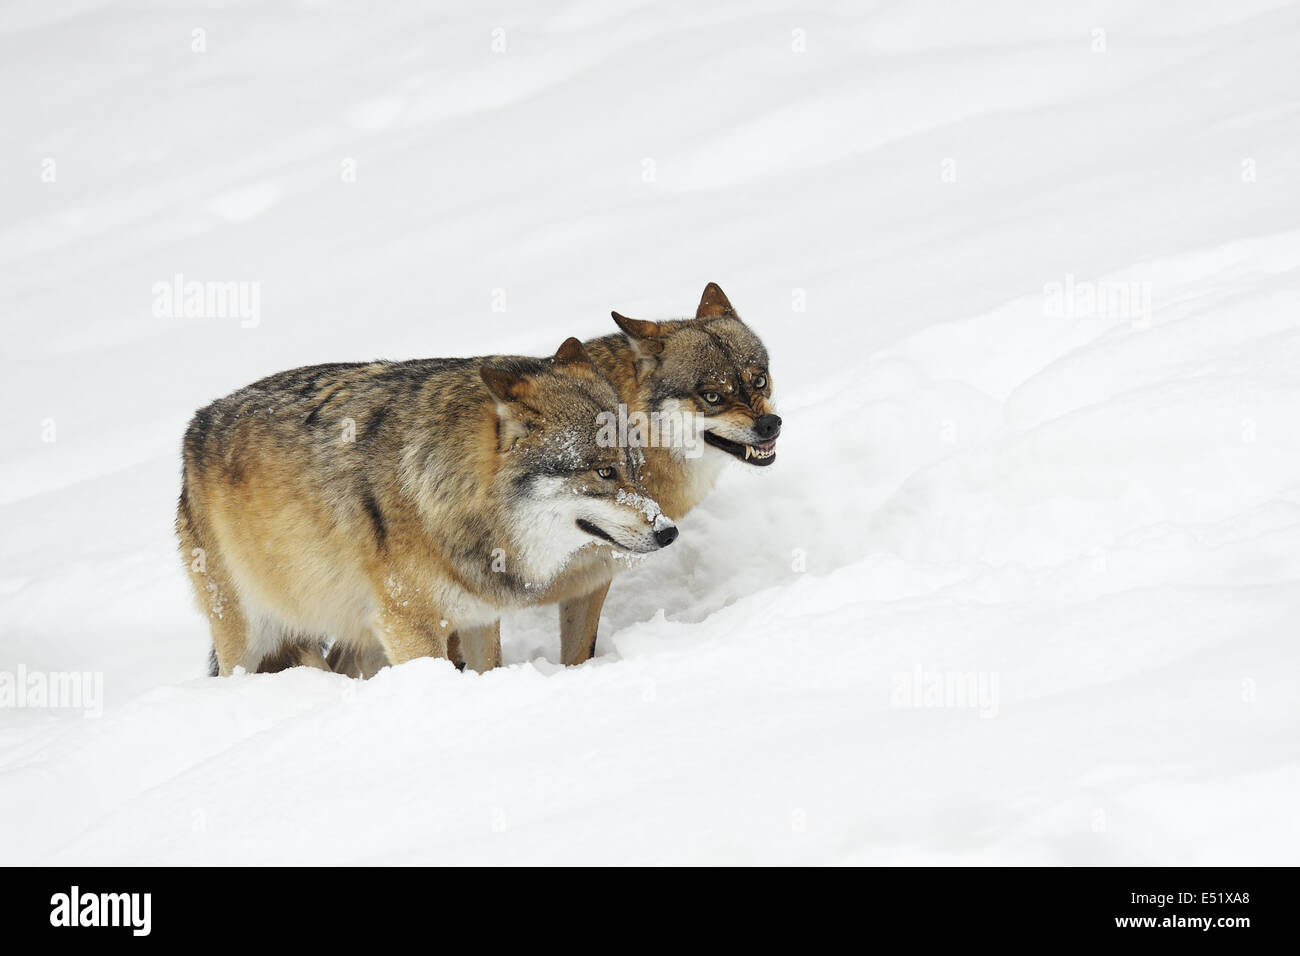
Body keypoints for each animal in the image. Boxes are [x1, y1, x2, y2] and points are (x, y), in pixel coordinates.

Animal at [176, 338, 678, 677]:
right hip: (249, 633)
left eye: (634, 467)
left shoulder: (478, 619)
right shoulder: (411, 628)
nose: (668, 531)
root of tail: (196, 425)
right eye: (604, 472)